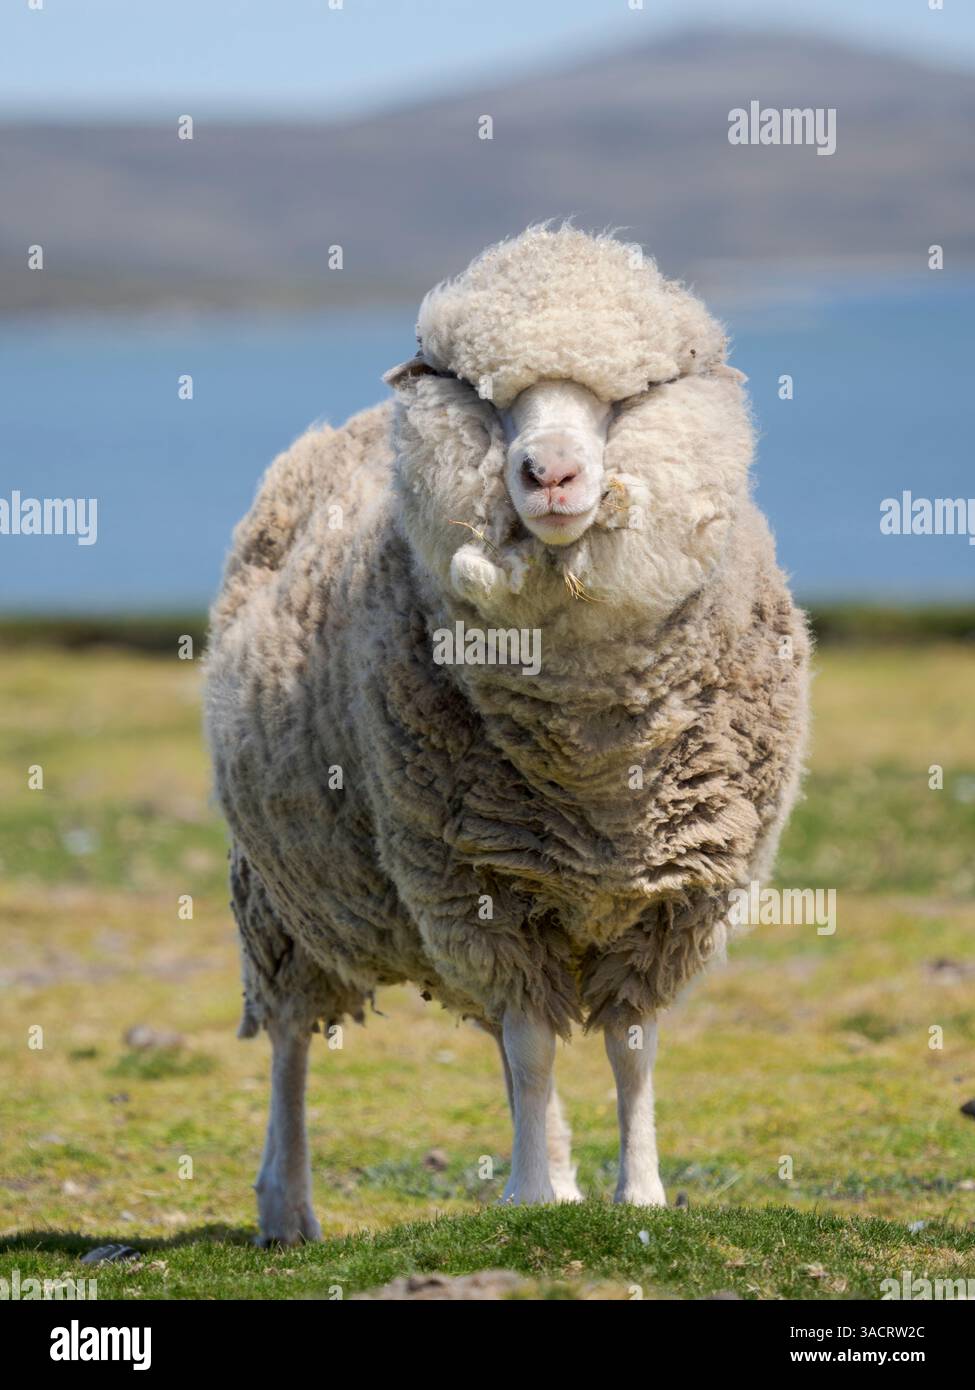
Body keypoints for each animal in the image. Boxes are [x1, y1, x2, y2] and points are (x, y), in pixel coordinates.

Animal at [204, 224, 810, 1243]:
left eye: (630, 395)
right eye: (486, 400)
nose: (549, 475)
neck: (594, 765)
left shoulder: (667, 898)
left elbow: (628, 1050)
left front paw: (634, 1190)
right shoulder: (480, 884)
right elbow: (531, 1047)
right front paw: (529, 1196)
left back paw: (559, 1171)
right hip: (284, 895)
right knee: (289, 1039)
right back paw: (287, 1207)